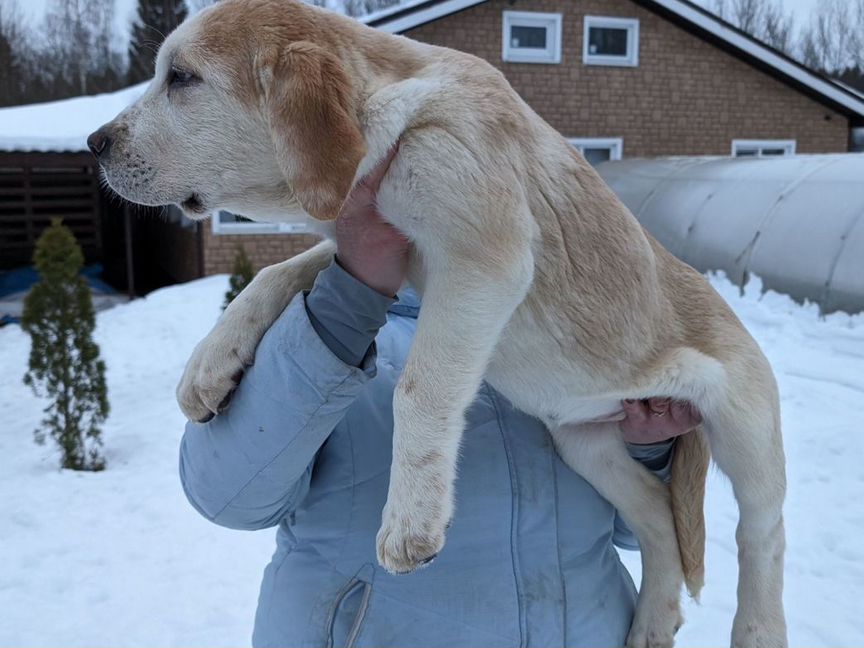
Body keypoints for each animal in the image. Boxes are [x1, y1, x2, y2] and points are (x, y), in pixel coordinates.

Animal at [91, 2, 788, 644]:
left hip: (747, 432)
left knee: (762, 537)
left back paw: (756, 629)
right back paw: (651, 622)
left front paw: (411, 522)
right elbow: (277, 273)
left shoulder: (482, 260)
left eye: (182, 77)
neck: (392, 112)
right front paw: (208, 366)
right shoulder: (393, 257)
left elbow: (419, 387)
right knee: (658, 517)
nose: (95, 144)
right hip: (585, 444)